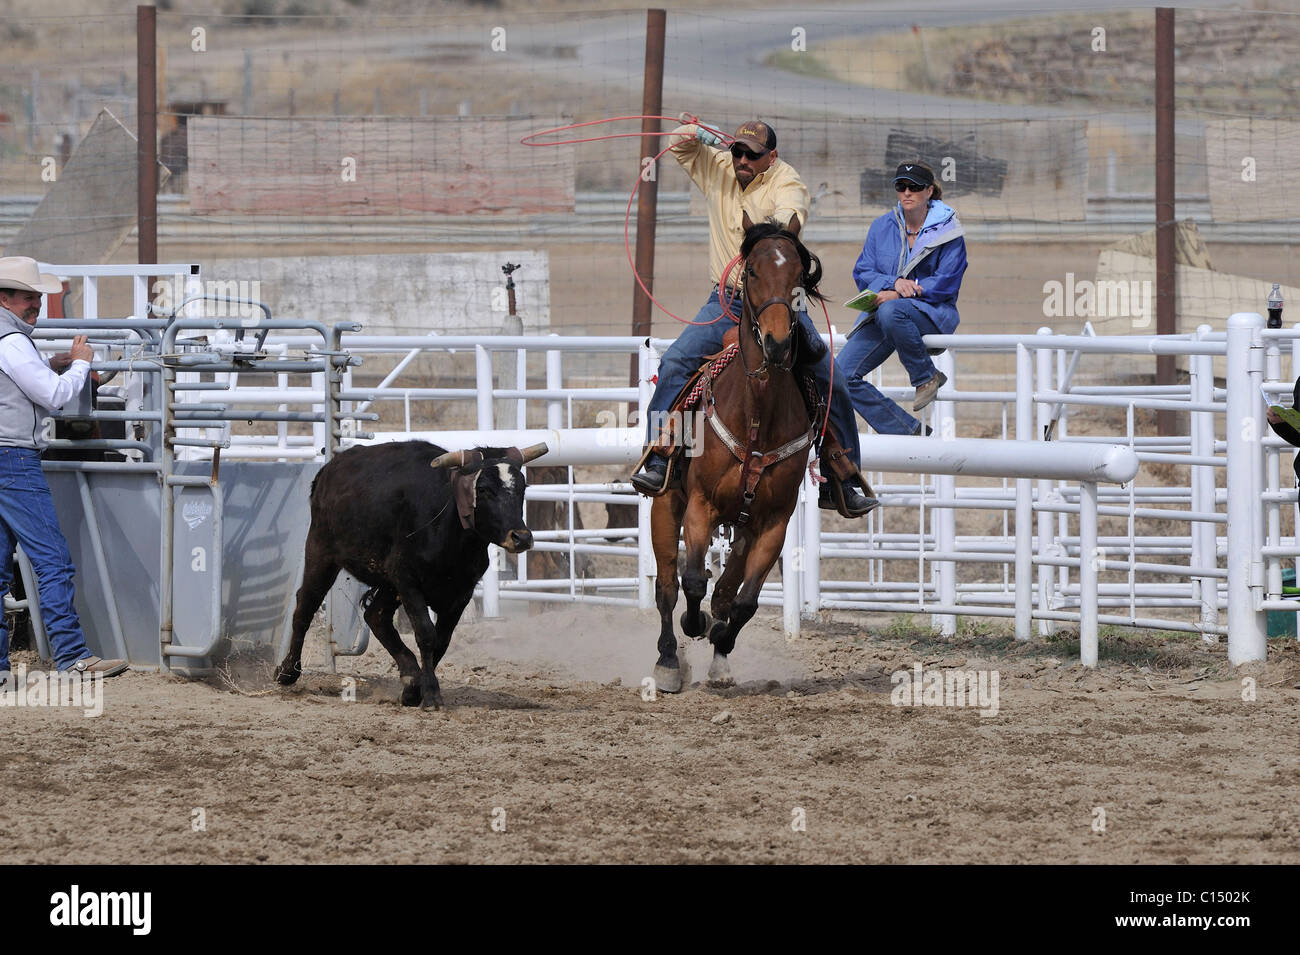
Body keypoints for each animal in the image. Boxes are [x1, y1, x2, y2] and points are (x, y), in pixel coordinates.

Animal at [274, 440, 547, 709]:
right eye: (484, 489)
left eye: (522, 488)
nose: (521, 537)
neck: (448, 528)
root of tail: (329, 470)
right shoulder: (408, 580)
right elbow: (426, 634)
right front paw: (432, 695)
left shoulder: (461, 593)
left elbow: (441, 641)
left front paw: (416, 689)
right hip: (321, 555)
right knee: (305, 607)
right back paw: (288, 671)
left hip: (388, 584)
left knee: (376, 616)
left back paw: (409, 676)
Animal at [651, 222, 826, 692]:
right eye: (751, 271)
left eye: (799, 274)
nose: (778, 343)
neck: (757, 411)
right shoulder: (700, 505)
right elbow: (693, 581)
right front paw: (695, 626)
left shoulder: (773, 524)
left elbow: (744, 601)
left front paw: (720, 641)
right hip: (664, 505)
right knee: (666, 586)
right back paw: (669, 661)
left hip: (744, 528)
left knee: (726, 590)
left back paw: (718, 658)